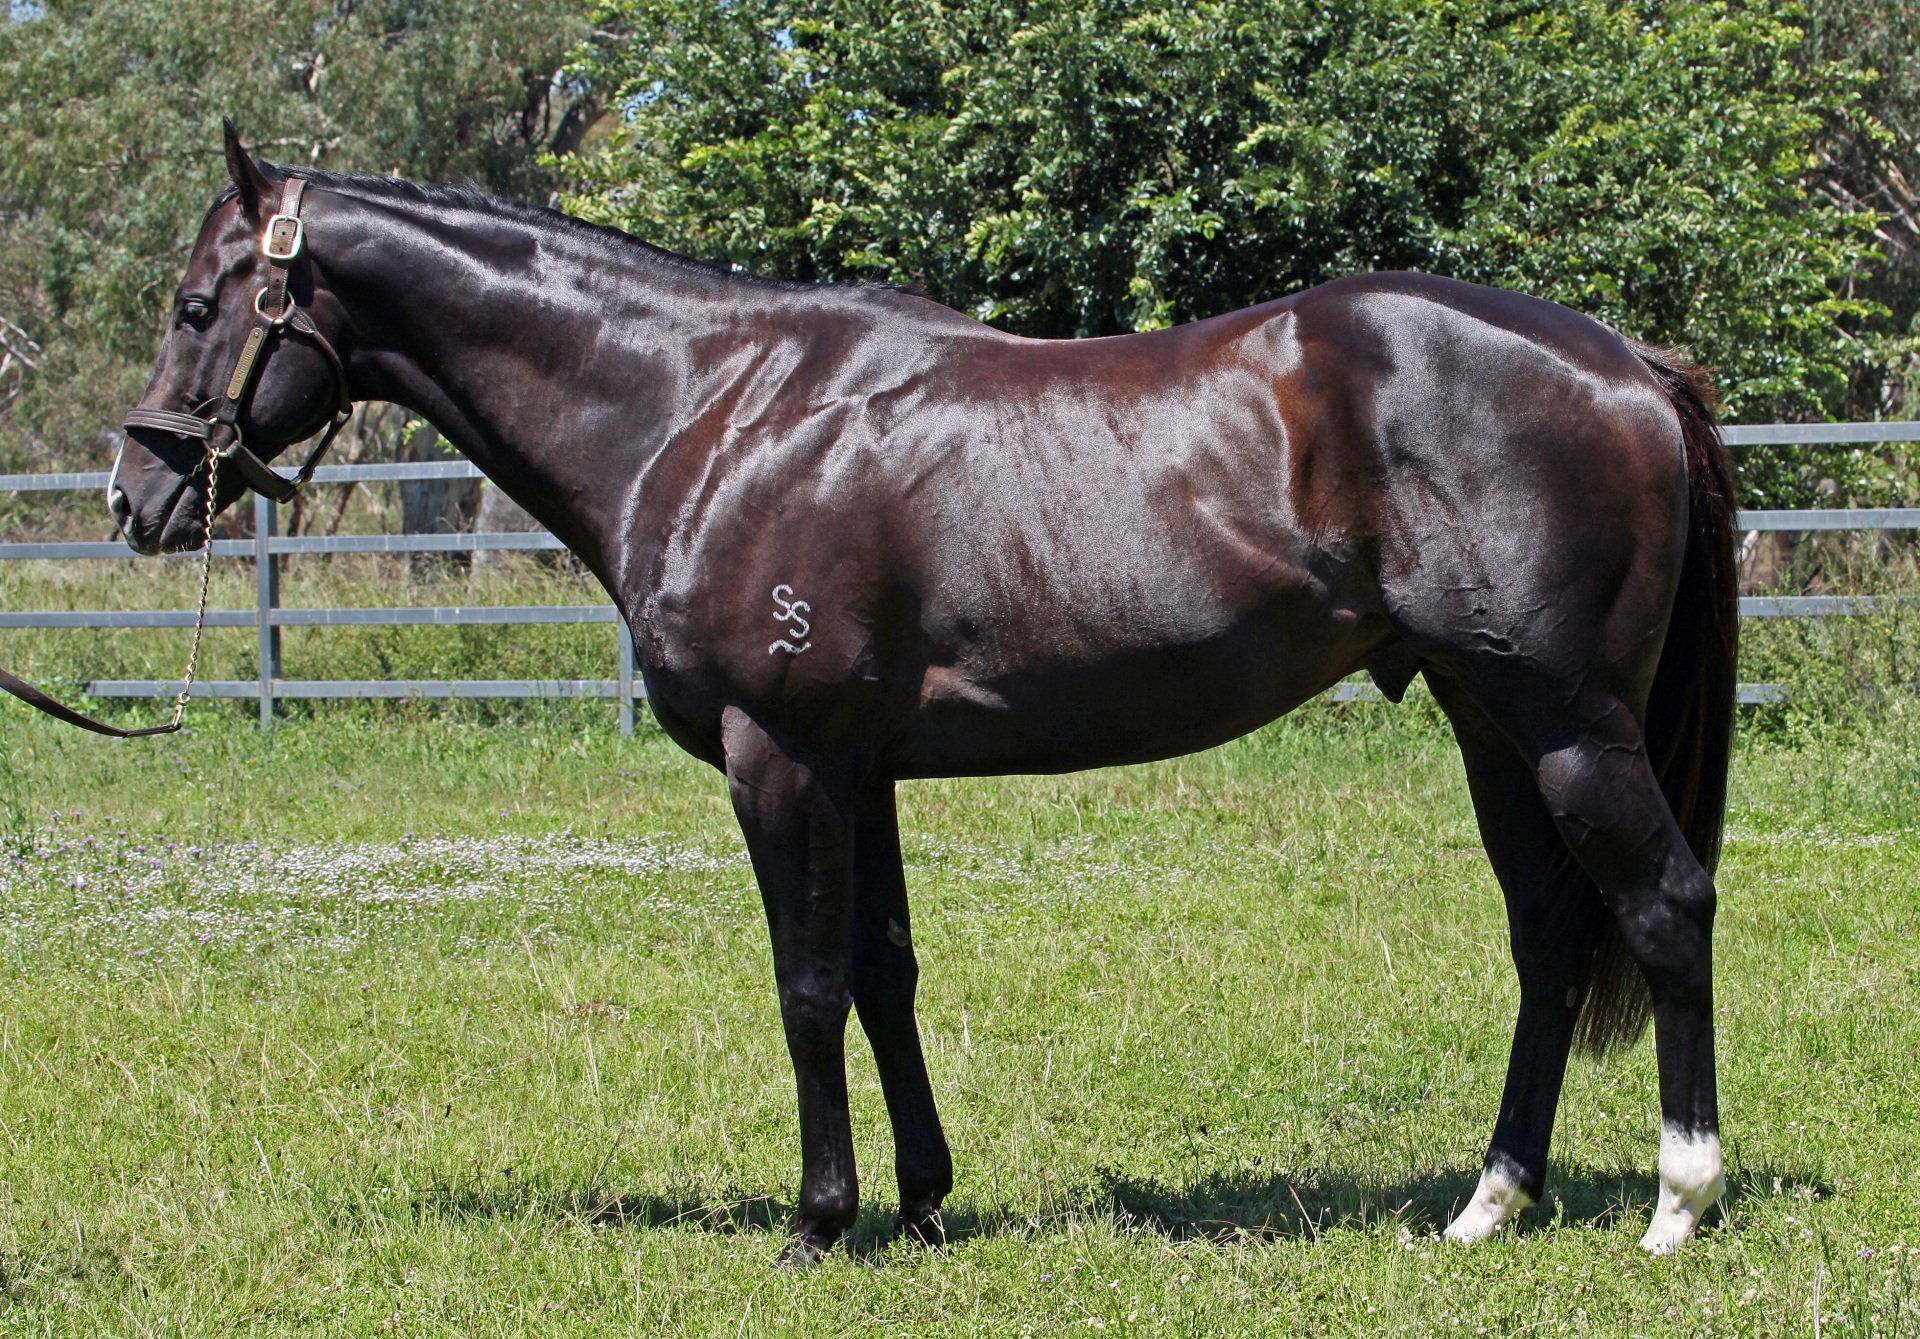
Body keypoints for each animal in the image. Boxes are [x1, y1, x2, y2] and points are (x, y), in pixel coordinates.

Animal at [110, 125, 1739, 1264]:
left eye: (197, 304)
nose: (139, 495)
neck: (710, 407)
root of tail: (1632, 363)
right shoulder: (863, 767)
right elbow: (886, 972)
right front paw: (925, 1201)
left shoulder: (781, 757)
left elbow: (809, 984)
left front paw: (819, 1220)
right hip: (1489, 719)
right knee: (1548, 936)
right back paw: (1489, 1202)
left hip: (1566, 720)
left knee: (1663, 904)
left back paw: (1679, 1202)